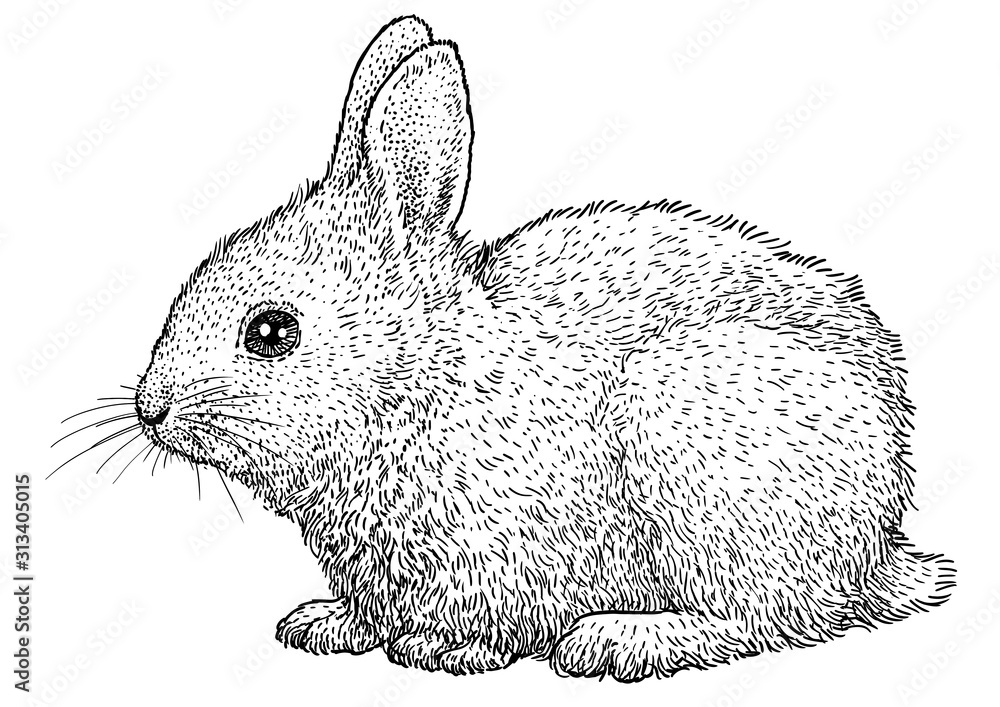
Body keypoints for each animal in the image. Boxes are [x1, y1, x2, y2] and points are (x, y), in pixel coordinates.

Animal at [128, 15, 954, 680]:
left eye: (271, 332)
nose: (150, 409)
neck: (421, 380)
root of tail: (875, 547)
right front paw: (327, 625)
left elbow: (500, 623)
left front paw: (447, 653)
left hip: (704, 464)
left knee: (761, 619)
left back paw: (623, 640)